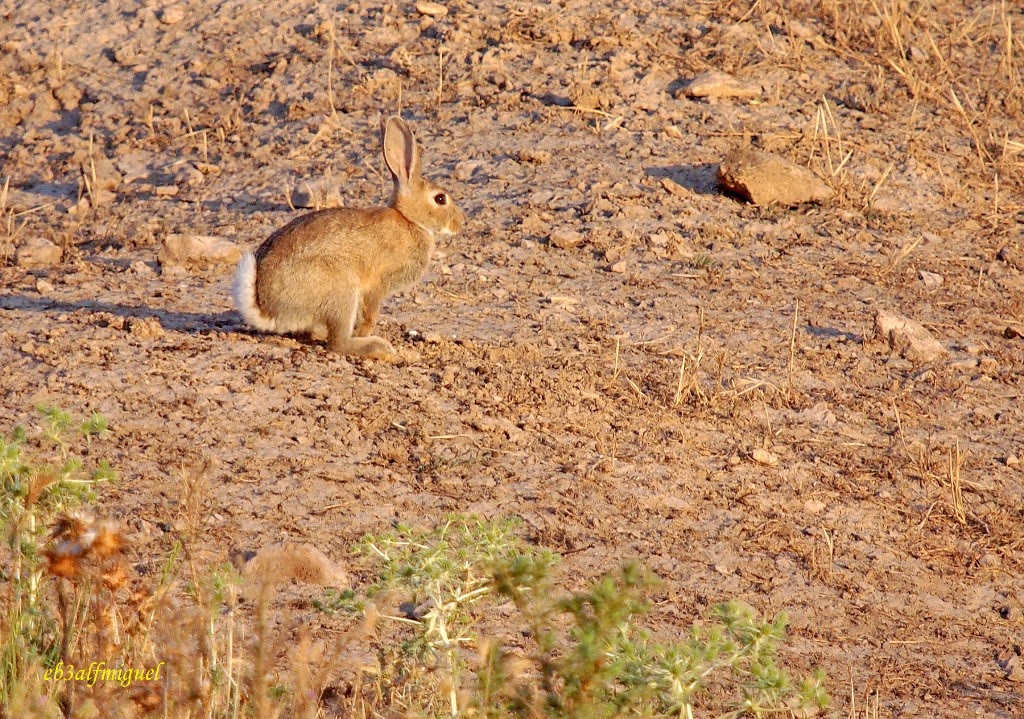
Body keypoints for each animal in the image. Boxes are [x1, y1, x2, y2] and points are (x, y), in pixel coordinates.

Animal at [233, 116, 465, 361]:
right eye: (440, 199)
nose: (461, 222)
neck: (409, 220)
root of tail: (269, 310)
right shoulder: (377, 286)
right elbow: (370, 315)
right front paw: (365, 334)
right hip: (341, 289)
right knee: (338, 343)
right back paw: (379, 348)